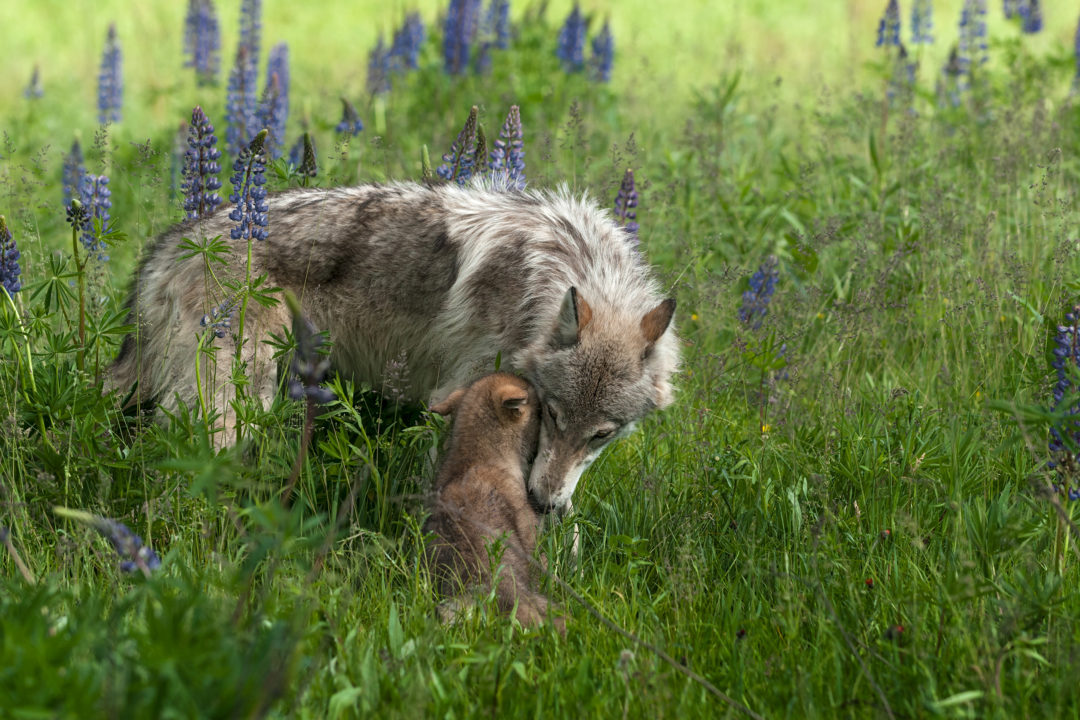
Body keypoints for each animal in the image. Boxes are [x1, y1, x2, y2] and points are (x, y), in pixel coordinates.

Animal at [111, 180, 678, 514]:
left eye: (602, 434)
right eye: (555, 416)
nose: (545, 505)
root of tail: (174, 242)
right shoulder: (457, 400)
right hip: (235, 413)